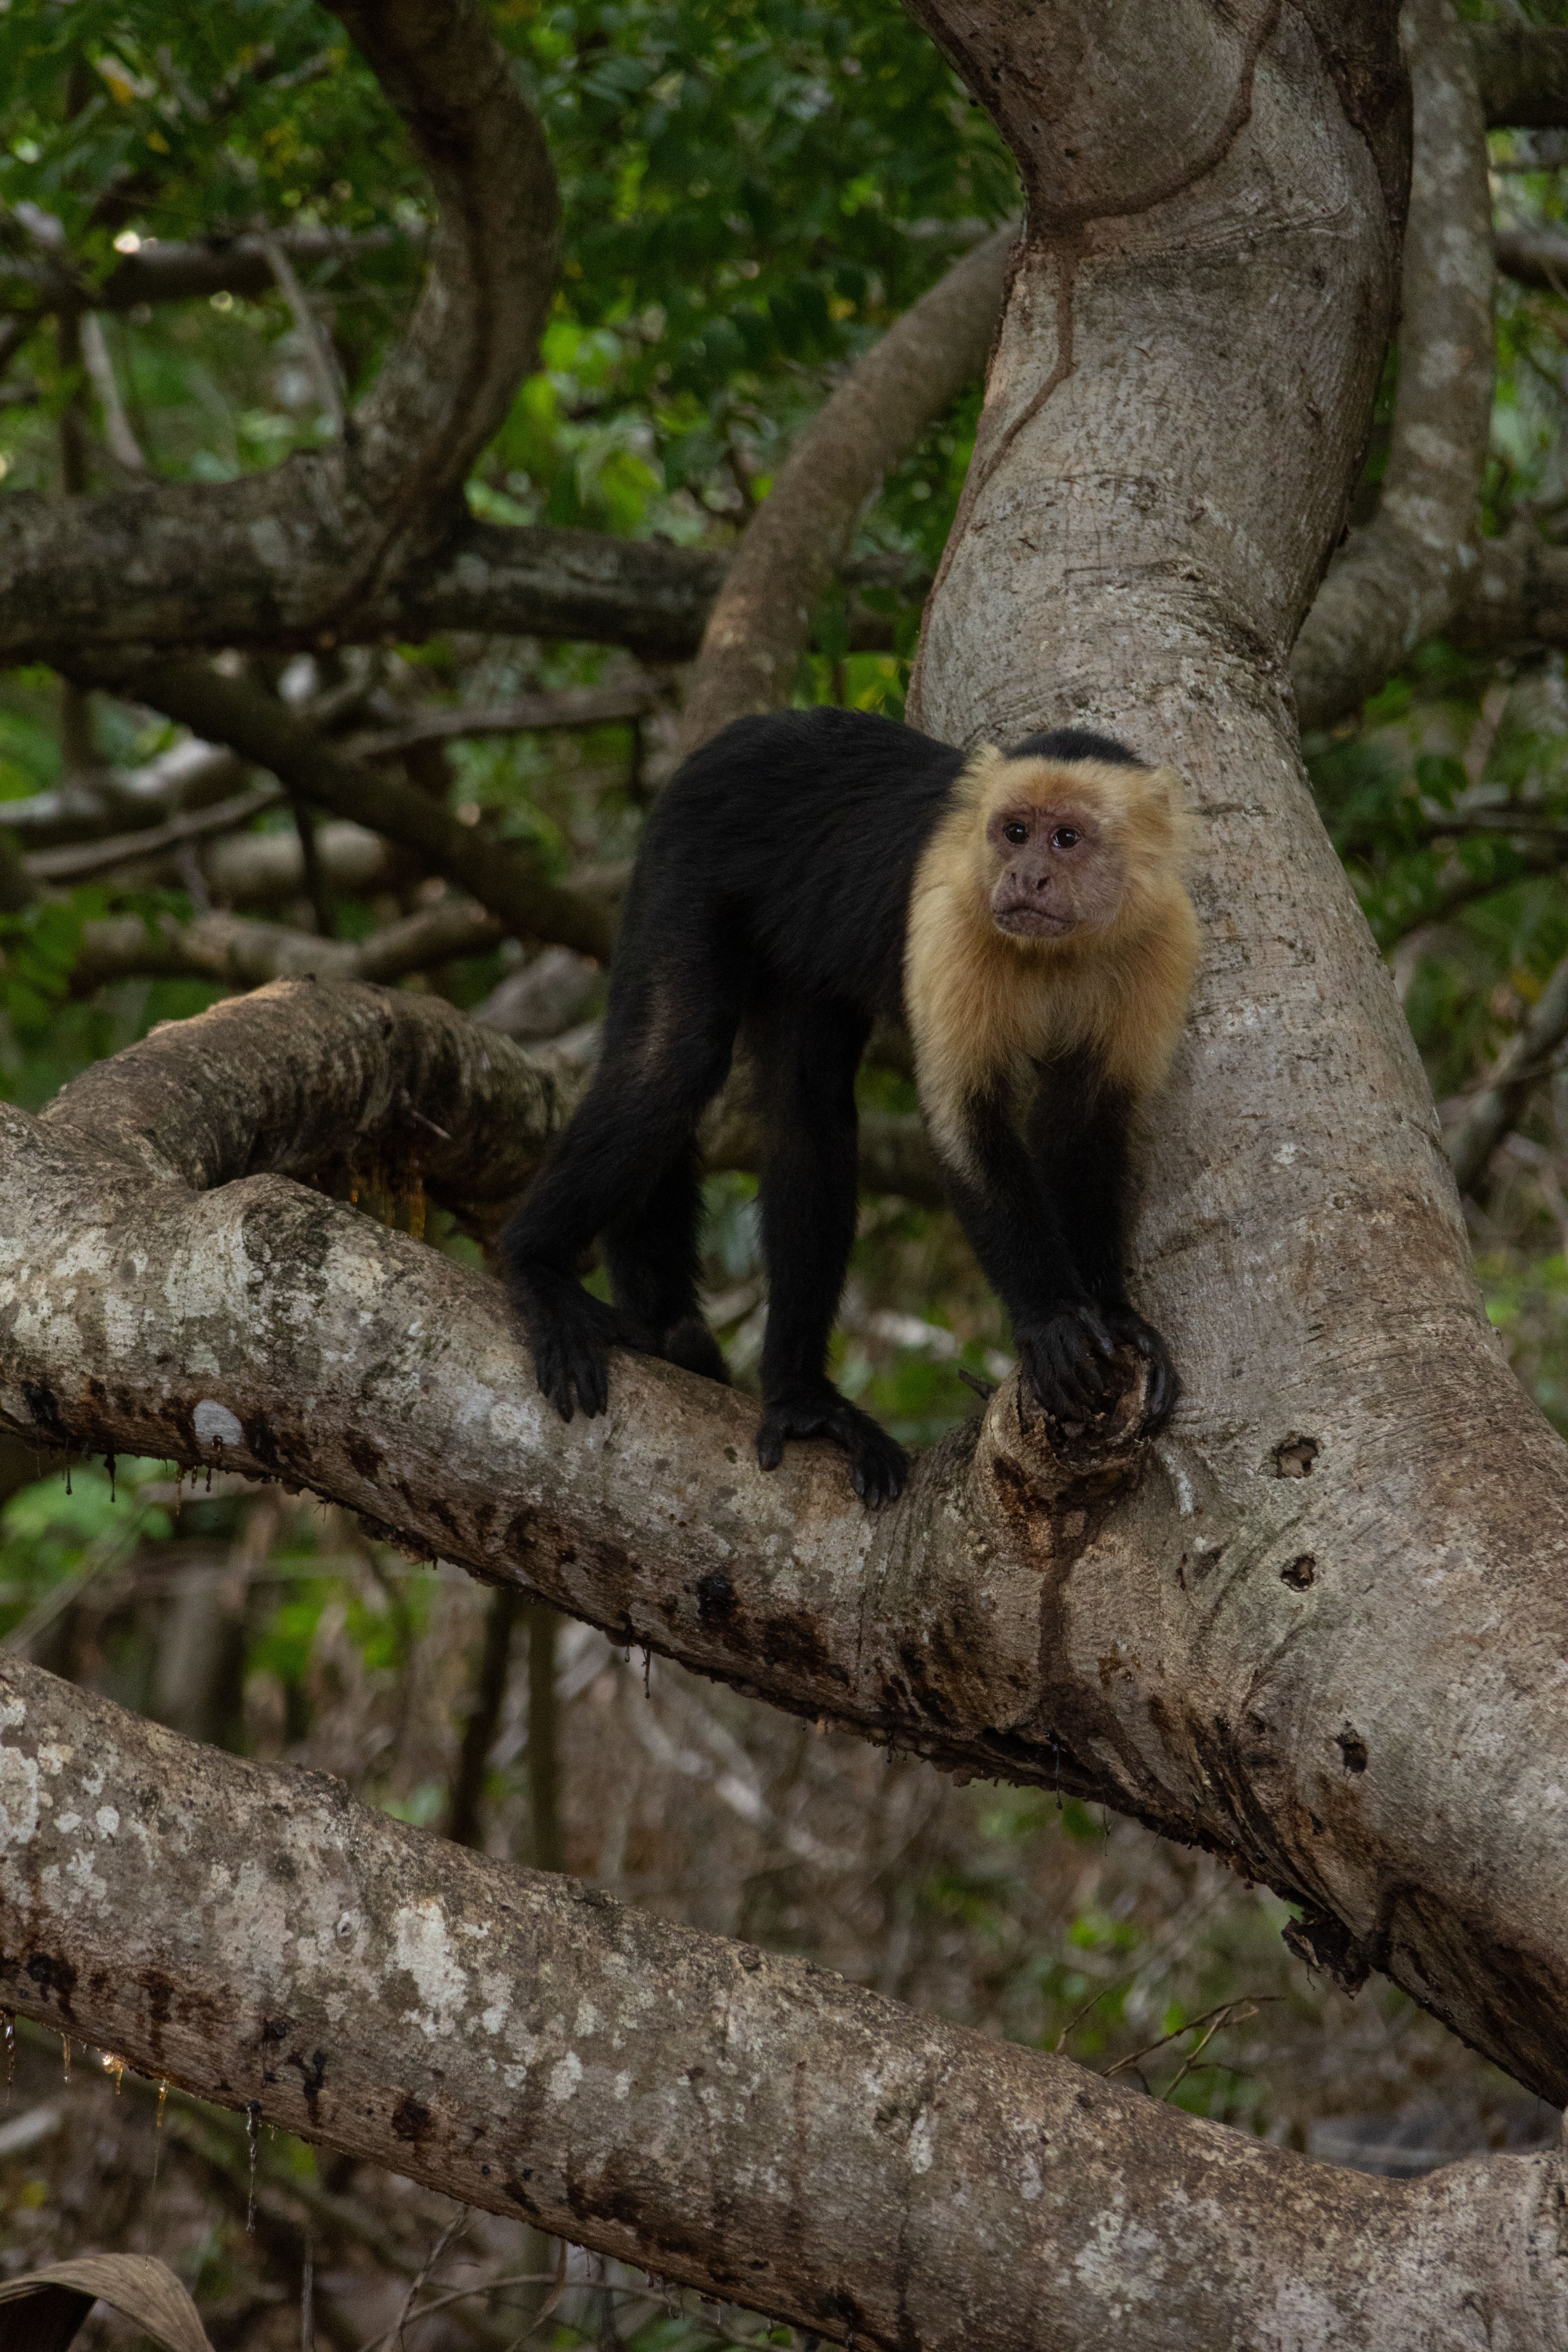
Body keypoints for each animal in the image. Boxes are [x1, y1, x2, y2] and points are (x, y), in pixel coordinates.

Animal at [500, 706, 1199, 1508]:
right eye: (1015, 831)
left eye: (1067, 839)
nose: (1026, 876)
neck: (1062, 949)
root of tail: (751, 730)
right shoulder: (951, 917)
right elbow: (964, 1124)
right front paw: (1052, 1320)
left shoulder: (1162, 936)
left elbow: (1083, 1126)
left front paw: (1114, 1315)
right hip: (692, 852)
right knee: (671, 1060)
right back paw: (535, 1265)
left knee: (810, 1117)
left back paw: (800, 1398)